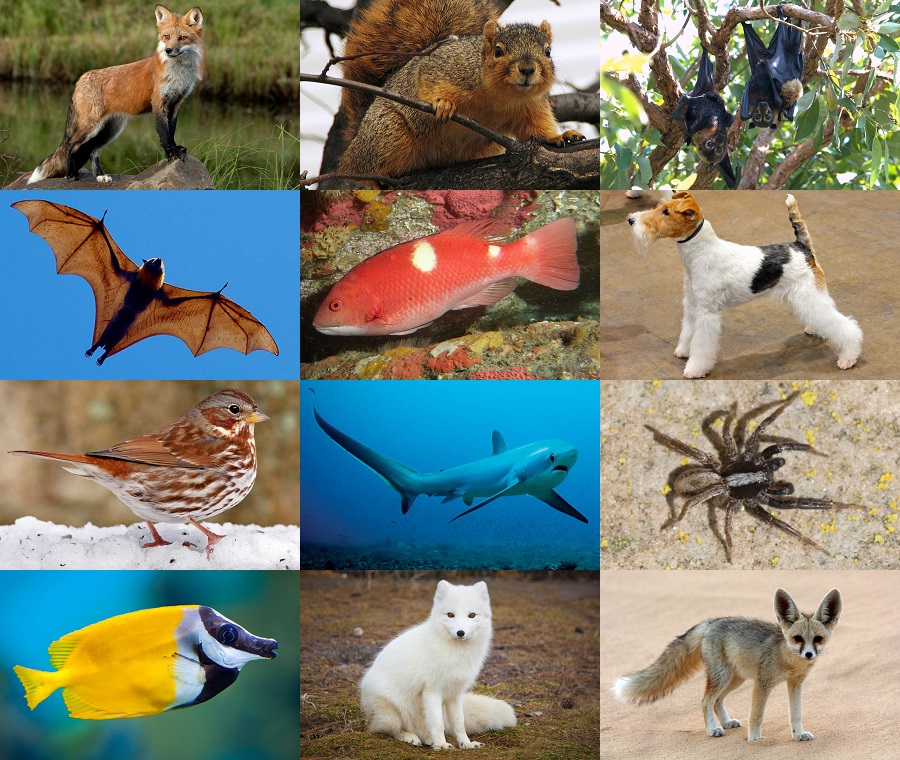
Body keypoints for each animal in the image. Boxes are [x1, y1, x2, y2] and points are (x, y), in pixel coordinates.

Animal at [28, 5, 204, 184]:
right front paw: (171, 153)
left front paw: (175, 149)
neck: (178, 74)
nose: (168, 50)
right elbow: (164, 134)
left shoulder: (175, 104)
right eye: (166, 37)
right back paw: (70, 174)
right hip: (91, 127)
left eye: (182, 38)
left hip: (110, 131)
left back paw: (99, 176)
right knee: (70, 146)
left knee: (93, 152)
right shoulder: (158, 104)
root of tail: (82, 77)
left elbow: (172, 131)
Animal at [360, 580, 516, 750]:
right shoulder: (432, 690)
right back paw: (410, 737)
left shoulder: (455, 693)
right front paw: (441, 745)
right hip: (390, 713)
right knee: (386, 729)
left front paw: (465, 743)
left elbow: (459, 723)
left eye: (472, 615)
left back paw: (428, 739)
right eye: (450, 615)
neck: (457, 653)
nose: (460, 633)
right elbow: (438, 723)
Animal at [613, 588, 842, 743]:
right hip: (723, 677)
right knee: (706, 700)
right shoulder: (763, 683)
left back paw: (725, 722)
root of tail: (711, 622)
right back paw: (713, 729)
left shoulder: (795, 684)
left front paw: (799, 734)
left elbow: (796, 713)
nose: (809, 654)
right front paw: (754, 739)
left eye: (818, 639)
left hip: (735, 679)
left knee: (717, 701)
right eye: (797, 639)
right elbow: (756, 715)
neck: (788, 659)